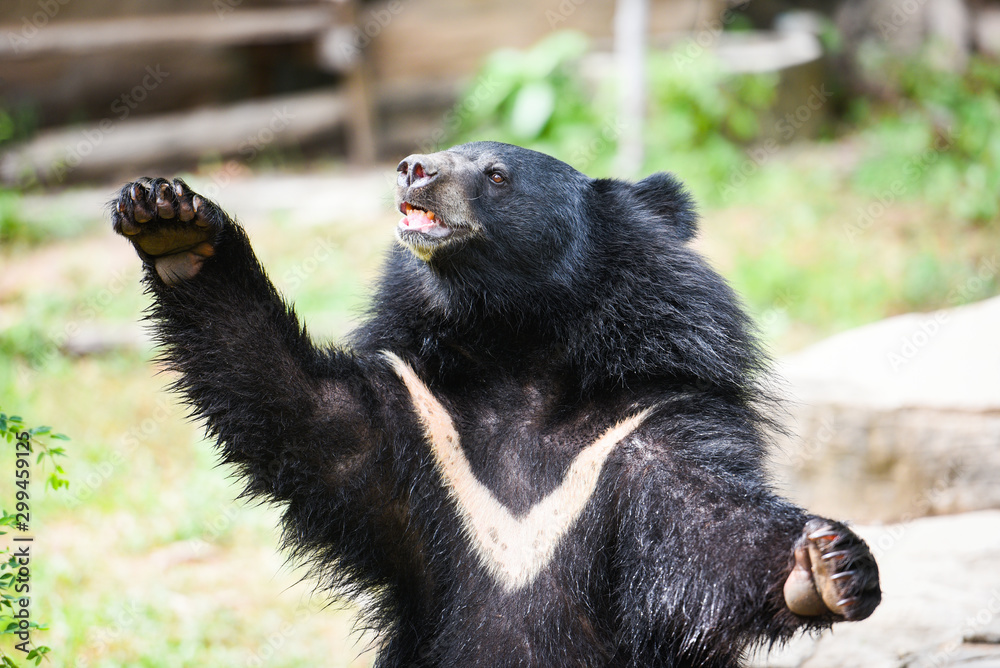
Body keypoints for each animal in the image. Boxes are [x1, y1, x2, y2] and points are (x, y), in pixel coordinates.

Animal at [109, 141, 880, 667]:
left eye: (497, 175)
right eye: (444, 153)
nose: (413, 168)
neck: (521, 354)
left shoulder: (648, 430)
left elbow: (705, 527)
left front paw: (829, 568)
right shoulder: (414, 419)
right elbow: (296, 405)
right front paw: (171, 221)